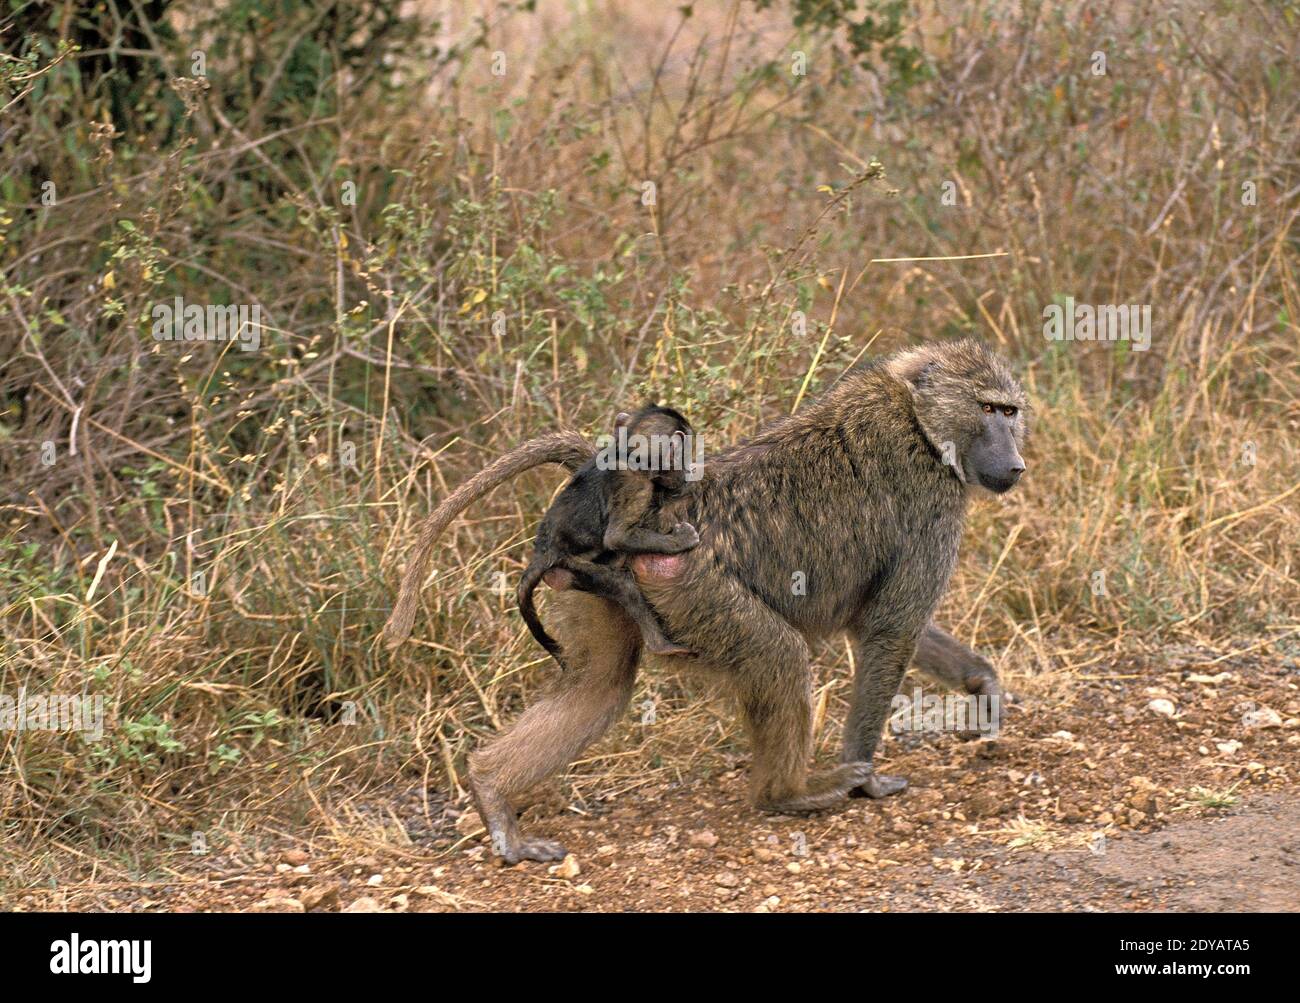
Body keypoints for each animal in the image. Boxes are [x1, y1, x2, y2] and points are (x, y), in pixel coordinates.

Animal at [517, 404, 700, 668]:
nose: (685, 473)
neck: (628, 454)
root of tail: (543, 551)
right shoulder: (637, 486)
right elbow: (617, 536)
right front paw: (680, 540)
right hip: (571, 565)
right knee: (623, 586)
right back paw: (661, 646)